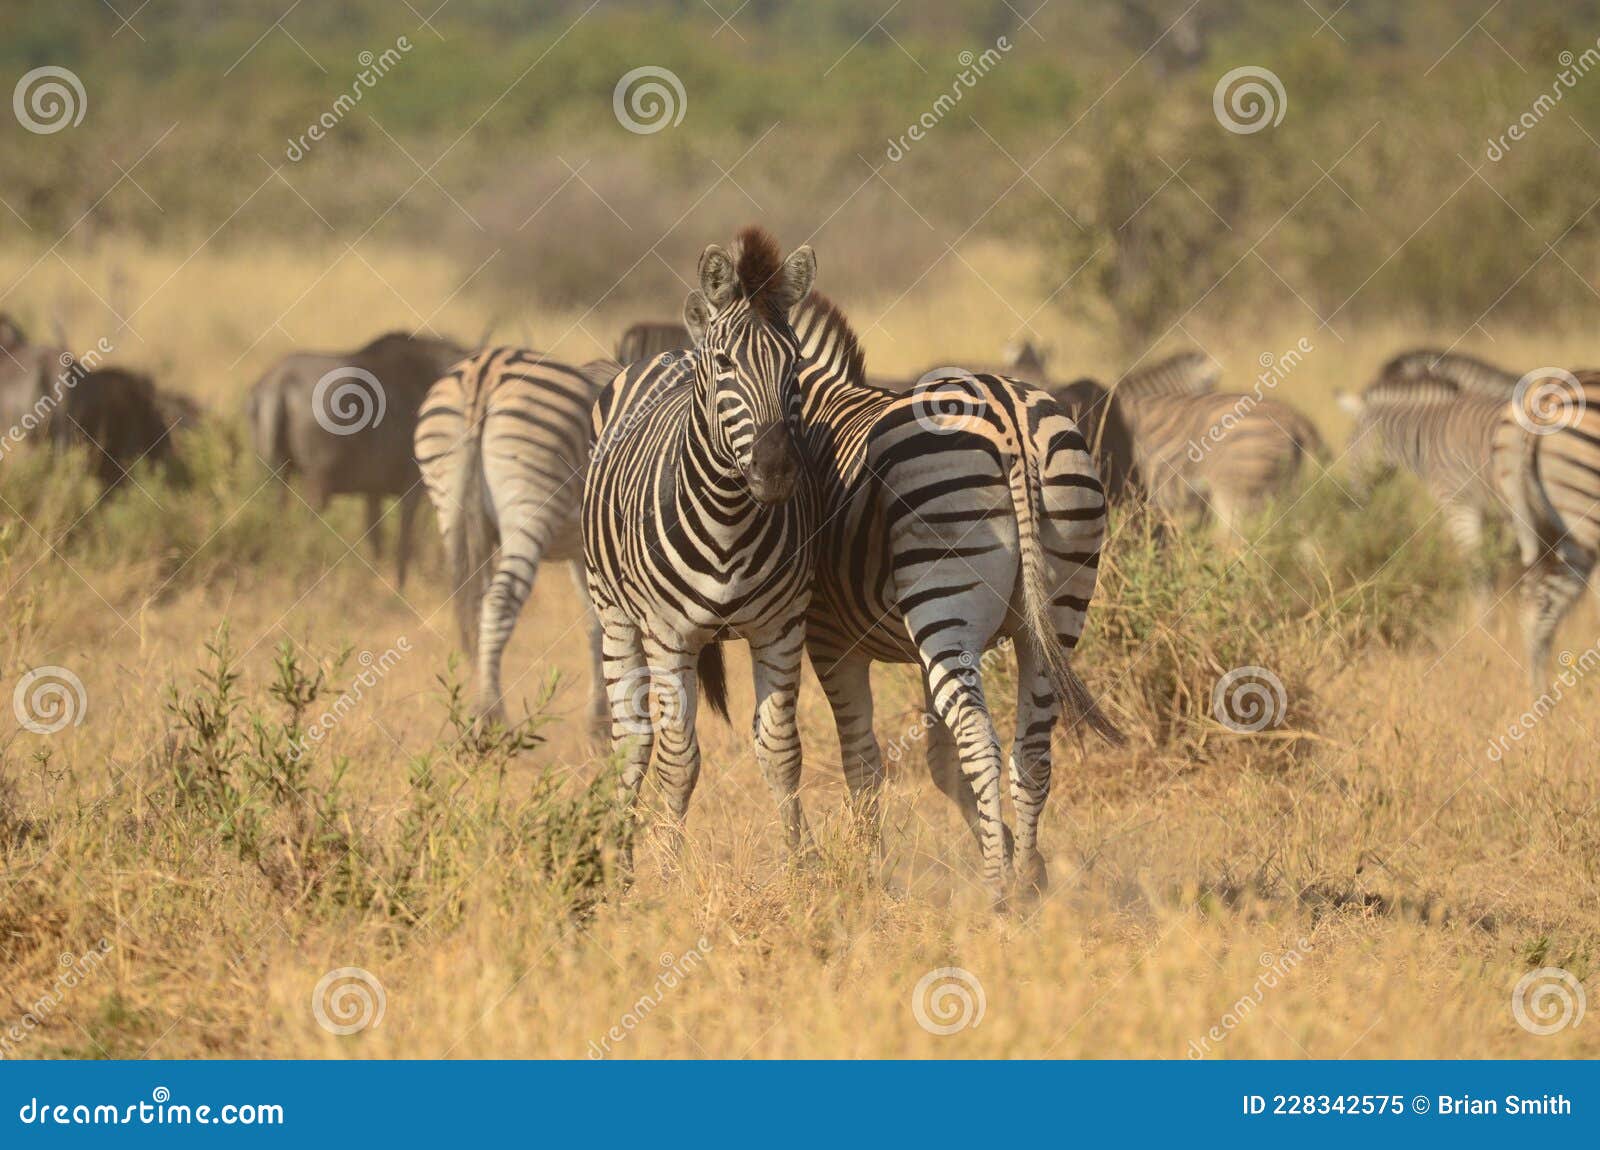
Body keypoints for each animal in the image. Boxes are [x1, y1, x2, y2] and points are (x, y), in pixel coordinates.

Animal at [413, 347, 619, 729]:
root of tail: (484, 370)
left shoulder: (584, 553)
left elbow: (597, 622)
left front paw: (601, 722)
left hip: (451, 506)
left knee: (475, 604)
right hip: (530, 502)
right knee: (499, 600)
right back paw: (492, 716)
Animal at [583, 228, 817, 853]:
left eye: (796, 365)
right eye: (727, 363)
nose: (777, 471)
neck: (730, 519)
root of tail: (674, 351)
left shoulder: (782, 627)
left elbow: (782, 753)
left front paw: (802, 865)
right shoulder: (668, 635)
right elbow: (678, 761)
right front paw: (667, 862)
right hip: (612, 612)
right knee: (632, 741)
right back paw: (618, 858)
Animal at [791, 292, 1122, 900]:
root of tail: (1011, 419)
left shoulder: (830, 640)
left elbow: (862, 760)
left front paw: (867, 872)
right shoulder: (923, 647)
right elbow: (939, 761)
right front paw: (1007, 846)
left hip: (943, 600)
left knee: (980, 739)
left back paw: (996, 889)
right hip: (1040, 608)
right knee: (1030, 748)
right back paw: (1029, 874)